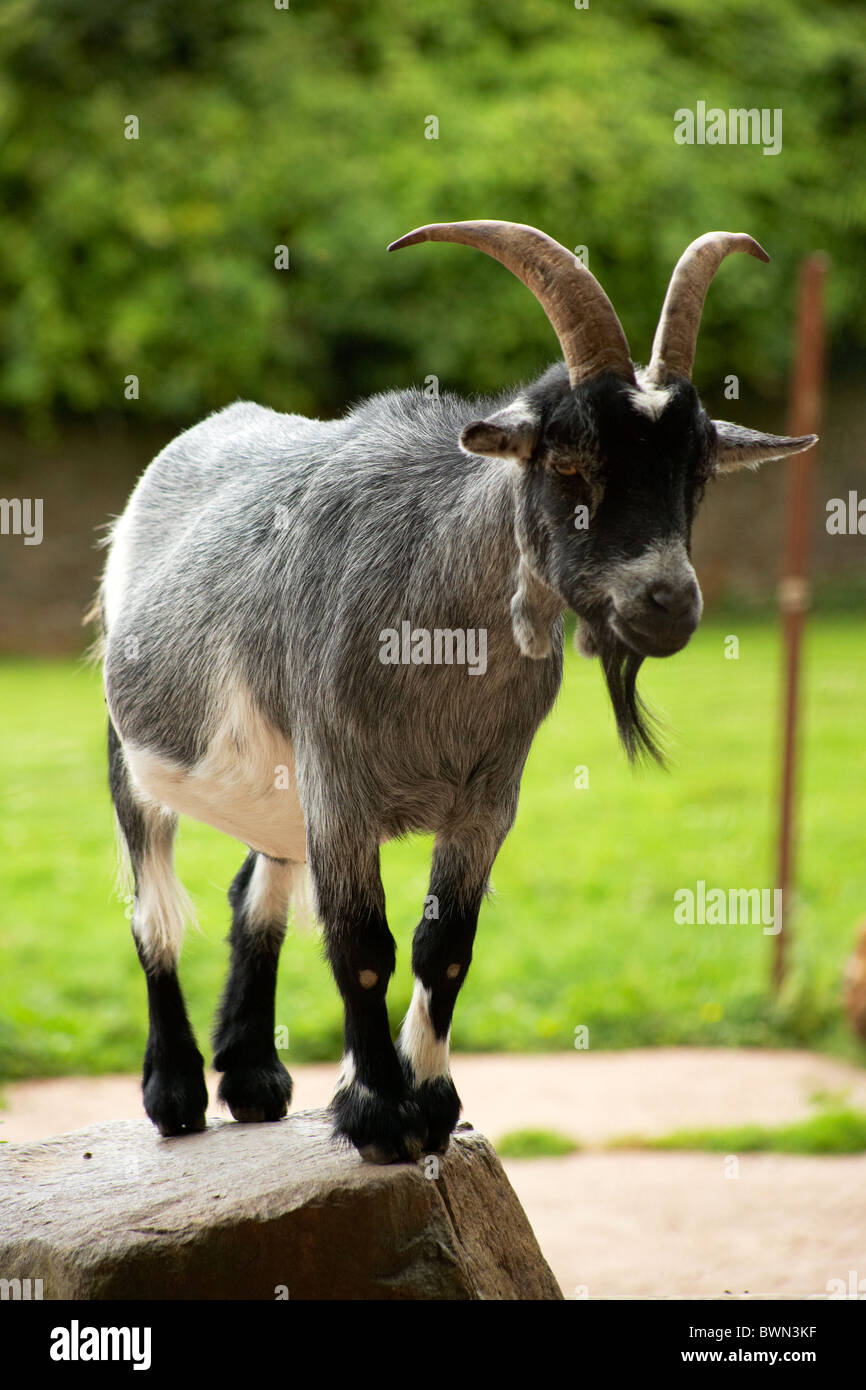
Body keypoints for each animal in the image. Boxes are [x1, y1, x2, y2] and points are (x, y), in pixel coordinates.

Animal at [97, 221, 814, 1162]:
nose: (667, 602)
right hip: (132, 754)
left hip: (278, 793)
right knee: (155, 911)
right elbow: (363, 945)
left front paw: (431, 1104)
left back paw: (253, 1081)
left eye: (697, 473)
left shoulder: (485, 798)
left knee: (257, 892)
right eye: (569, 460)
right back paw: (176, 1093)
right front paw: (377, 1114)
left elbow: (445, 946)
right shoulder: (341, 784)